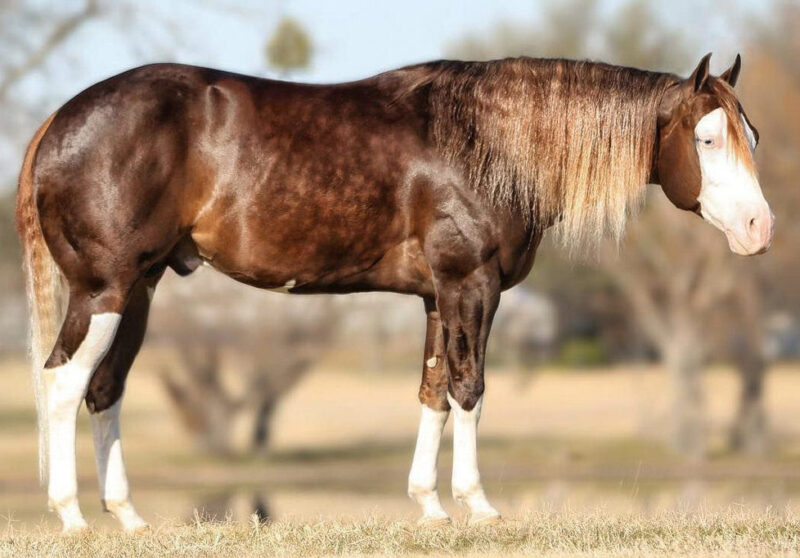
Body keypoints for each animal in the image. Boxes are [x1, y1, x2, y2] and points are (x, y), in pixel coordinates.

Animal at [15, 52, 772, 533]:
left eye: (752, 135)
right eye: (707, 138)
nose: (760, 228)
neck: (487, 141)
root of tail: (58, 120)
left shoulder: (437, 296)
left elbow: (433, 391)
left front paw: (430, 507)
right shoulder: (471, 284)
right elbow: (469, 387)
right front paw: (478, 505)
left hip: (138, 291)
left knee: (104, 389)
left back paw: (129, 519)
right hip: (104, 290)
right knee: (61, 382)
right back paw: (72, 517)